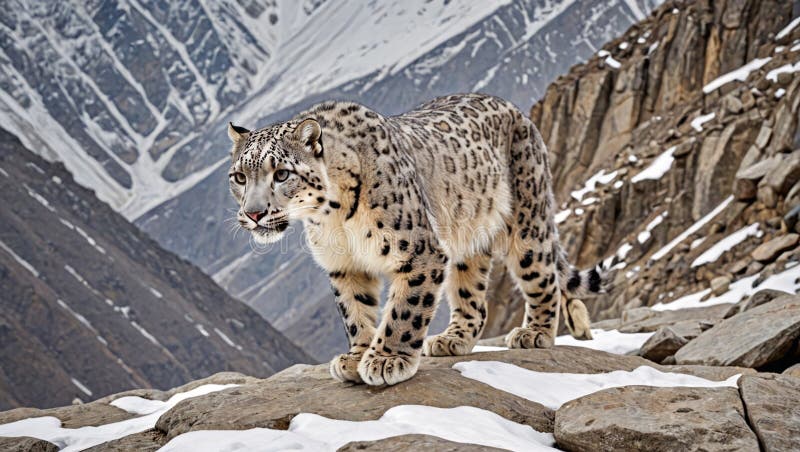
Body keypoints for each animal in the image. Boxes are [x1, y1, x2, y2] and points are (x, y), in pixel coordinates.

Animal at [227, 93, 608, 386]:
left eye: (282, 174)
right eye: (239, 177)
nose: (254, 213)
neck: (333, 217)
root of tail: (517, 111)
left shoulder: (420, 252)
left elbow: (404, 310)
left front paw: (385, 360)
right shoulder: (344, 265)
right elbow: (355, 312)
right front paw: (355, 357)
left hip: (528, 224)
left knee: (544, 277)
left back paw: (536, 333)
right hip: (466, 242)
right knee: (473, 298)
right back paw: (453, 339)